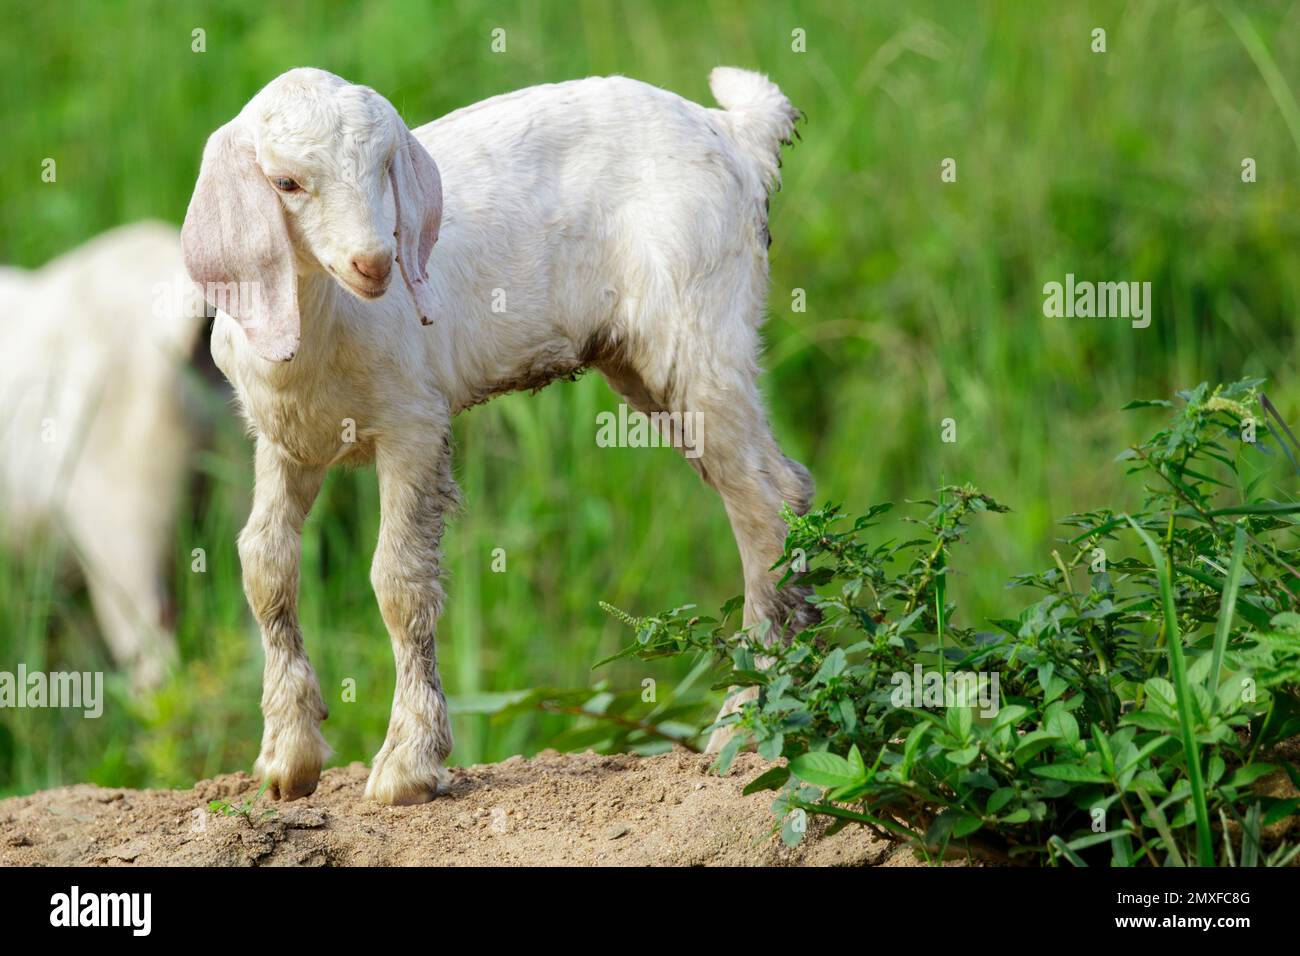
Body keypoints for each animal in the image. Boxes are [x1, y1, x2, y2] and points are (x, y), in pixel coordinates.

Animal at [182, 66, 816, 804]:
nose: (375, 262)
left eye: (383, 166)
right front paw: (289, 758)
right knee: (783, 488)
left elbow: (399, 581)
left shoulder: (414, 424)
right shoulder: (283, 442)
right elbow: (265, 566)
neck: (325, 321)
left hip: (699, 328)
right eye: (286, 182)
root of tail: (735, 132)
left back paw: (746, 719)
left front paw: (408, 765)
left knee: (764, 502)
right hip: (644, 363)